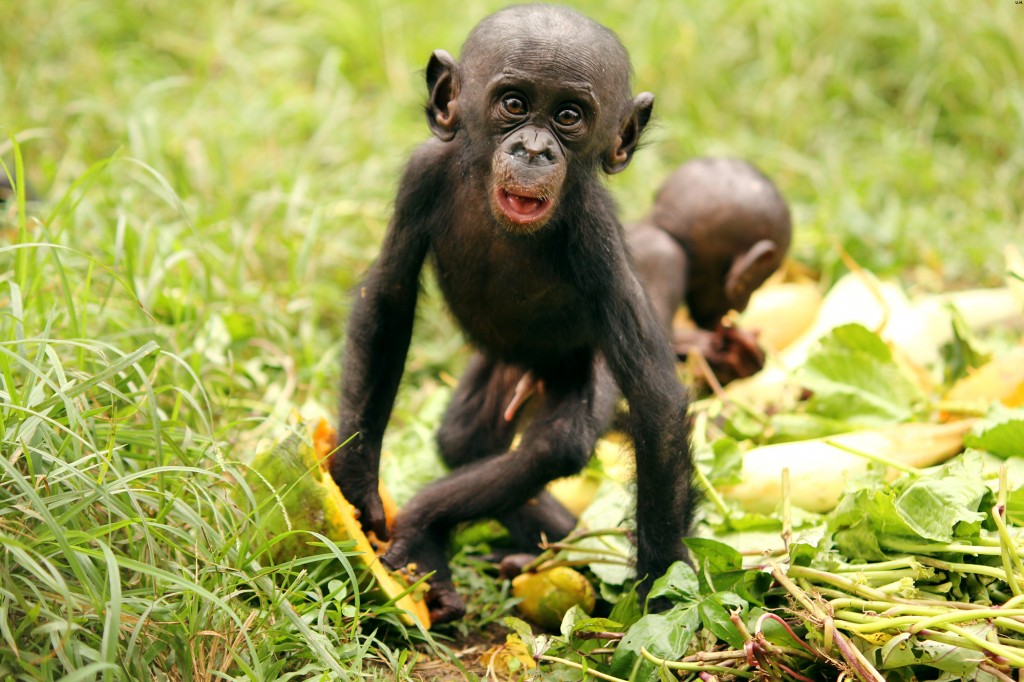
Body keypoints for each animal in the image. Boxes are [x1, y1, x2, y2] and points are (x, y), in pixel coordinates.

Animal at [331, 5, 694, 623]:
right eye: (515, 104)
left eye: (569, 116)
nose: (534, 150)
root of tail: (533, 376)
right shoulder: (421, 174)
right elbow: (388, 300)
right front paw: (356, 481)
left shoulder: (595, 233)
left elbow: (655, 399)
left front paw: (661, 593)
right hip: (499, 370)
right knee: (465, 442)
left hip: (577, 373)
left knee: (556, 444)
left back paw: (435, 530)